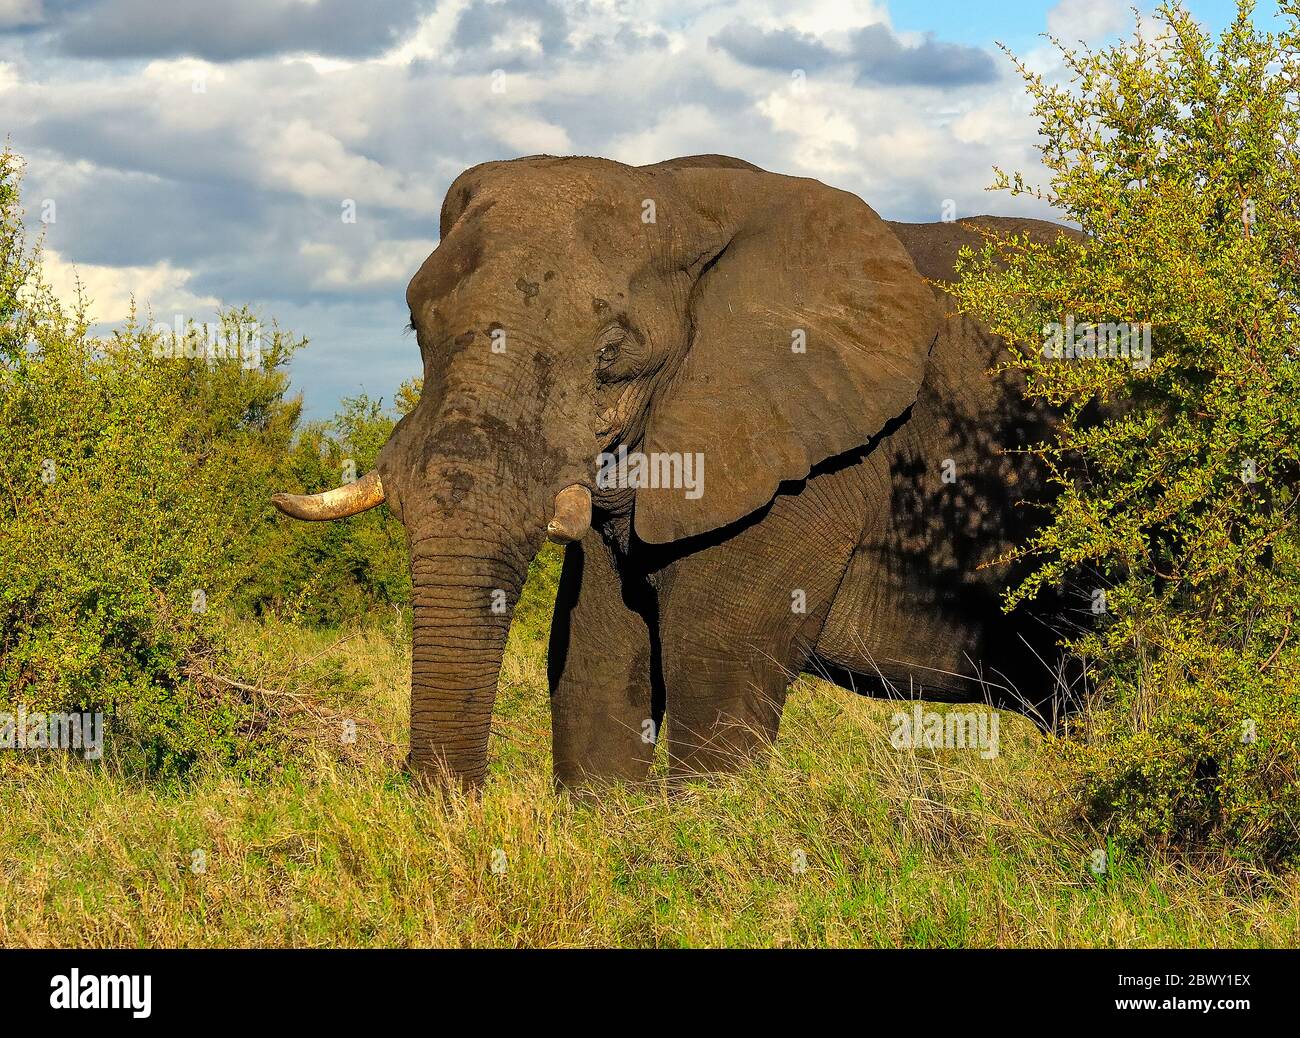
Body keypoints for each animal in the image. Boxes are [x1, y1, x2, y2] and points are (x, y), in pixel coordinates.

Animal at [272, 153, 1077, 791]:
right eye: (416, 327)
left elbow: (717, 682)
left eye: (612, 357)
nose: (447, 803)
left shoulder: (810, 463)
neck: (677, 194)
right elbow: (592, 670)